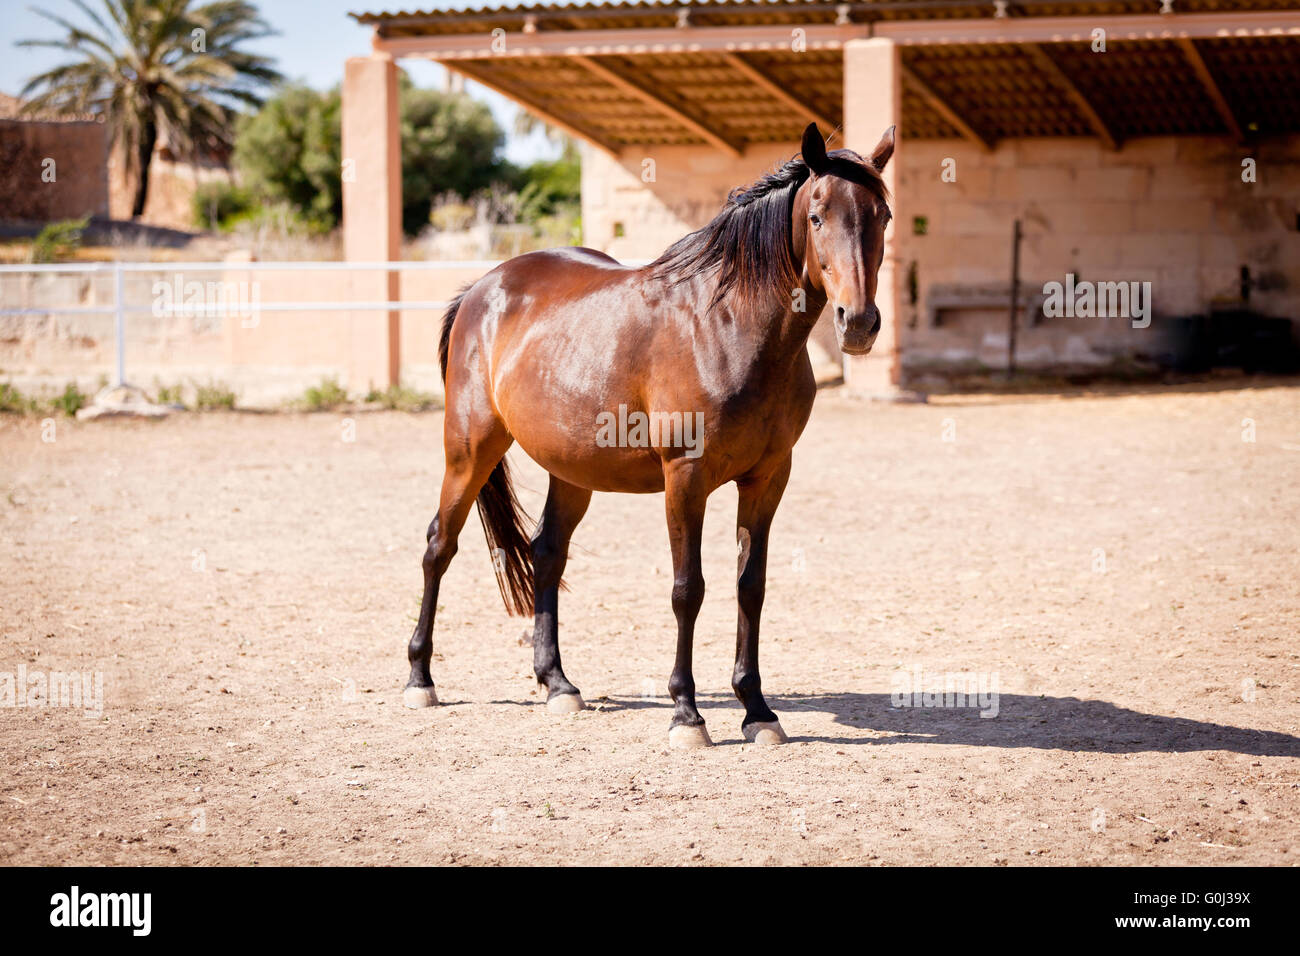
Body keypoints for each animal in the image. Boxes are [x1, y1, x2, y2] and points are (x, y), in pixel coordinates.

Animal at [404, 122, 895, 748]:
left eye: (883, 215)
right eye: (816, 216)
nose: (858, 324)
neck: (728, 325)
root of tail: (481, 289)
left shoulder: (768, 478)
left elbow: (750, 587)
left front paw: (757, 710)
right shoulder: (685, 478)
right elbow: (689, 589)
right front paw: (687, 713)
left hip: (572, 471)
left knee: (547, 553)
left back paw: (557, 684)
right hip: (469, 451)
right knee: (438, 546)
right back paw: (420, 678)